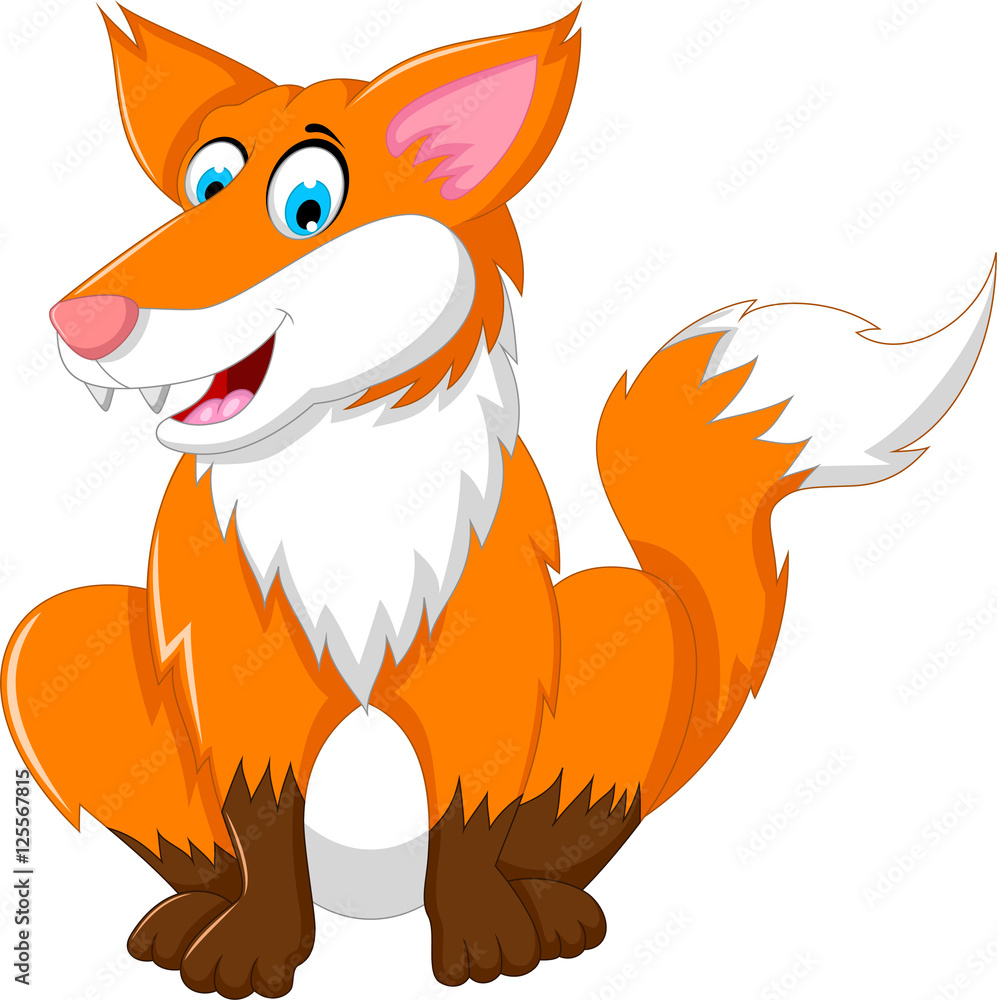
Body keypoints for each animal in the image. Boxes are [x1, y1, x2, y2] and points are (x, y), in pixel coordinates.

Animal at [2, 4, 994, 997]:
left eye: (307, 207)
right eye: (204, 186)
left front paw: (484, 941)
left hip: (628, 617)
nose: (77, 321)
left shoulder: (493, 672)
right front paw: (250, 945)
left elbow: (471, 822)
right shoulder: (236, 689)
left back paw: (551, 913)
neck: (341, 476)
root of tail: (372, 909)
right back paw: (185, 921)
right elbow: (263, 827)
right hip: (52, 640)